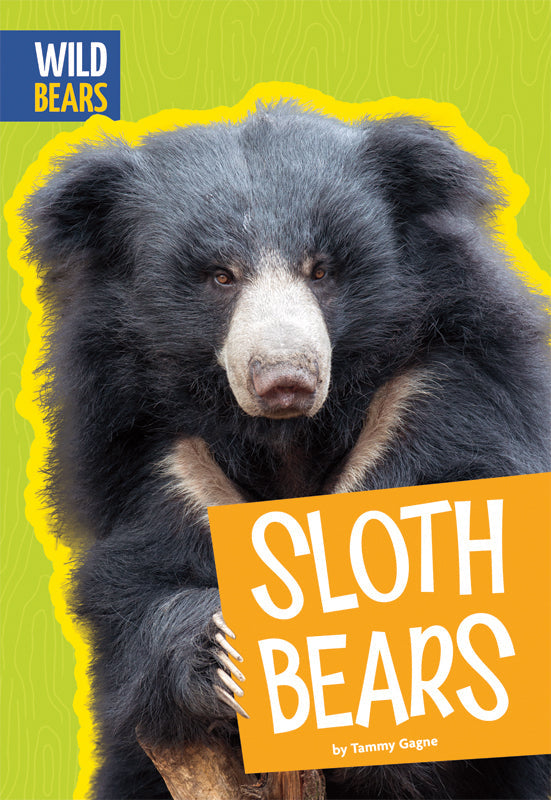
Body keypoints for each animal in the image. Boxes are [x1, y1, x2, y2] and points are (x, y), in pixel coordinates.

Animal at [22, 103, 550, 799]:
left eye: (320, 269)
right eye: (221, 276)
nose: (284, 378)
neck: (288, 438)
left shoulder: (439, 400)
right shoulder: (160, 462)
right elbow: (138, 584)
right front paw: (220, 654)